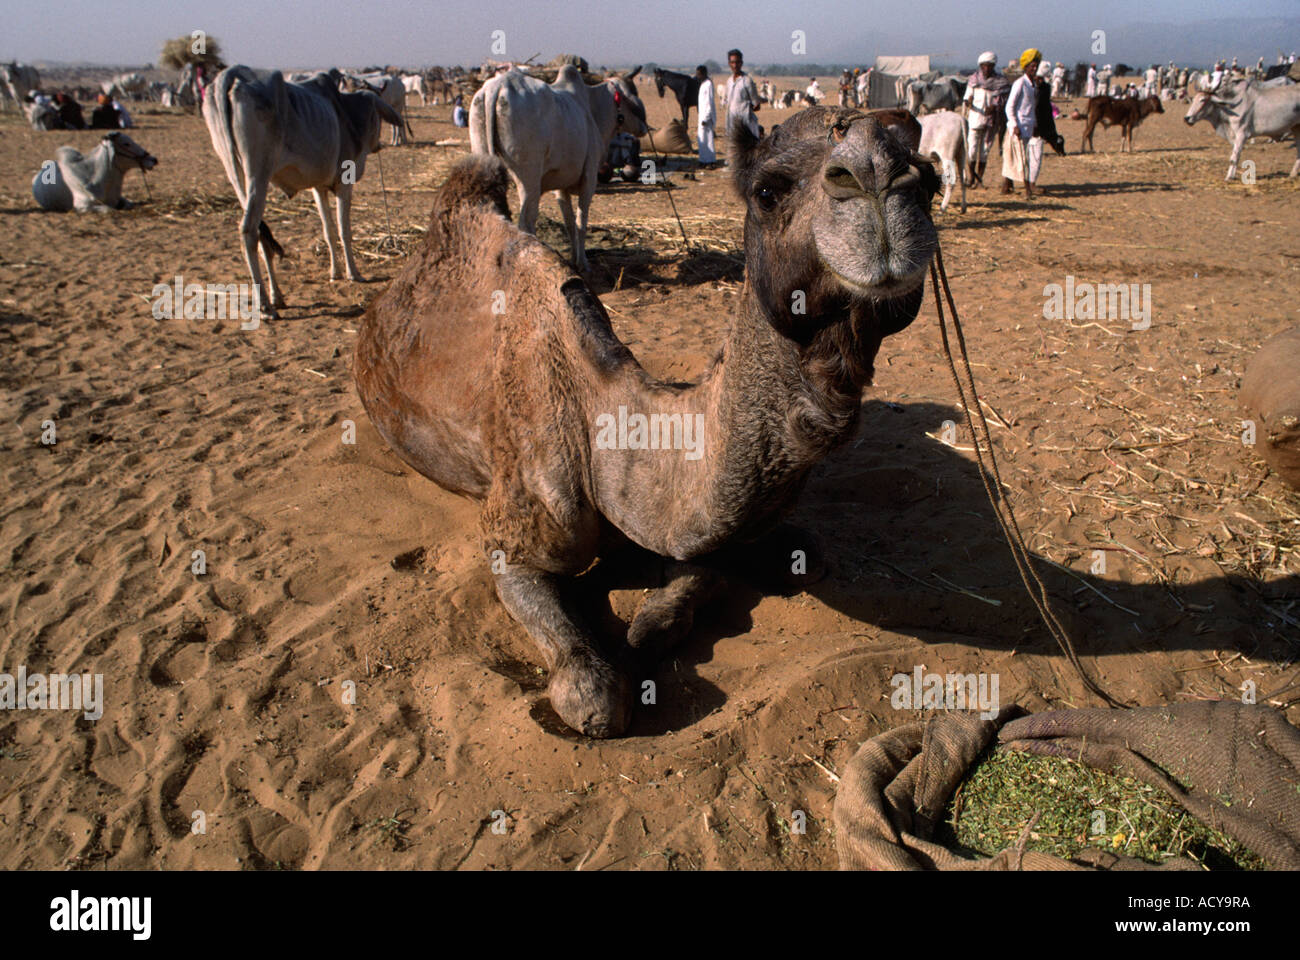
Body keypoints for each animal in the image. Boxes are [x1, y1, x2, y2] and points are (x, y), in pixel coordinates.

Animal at [202, 66, 404, 320]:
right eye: (376, 117)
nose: (378, 145)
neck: (346, 110)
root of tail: (230, 74)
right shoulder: (344, 182)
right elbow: (344, 230)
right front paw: (353, 273)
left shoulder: (318, 187)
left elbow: (329, 231)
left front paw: (335, 272)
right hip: (259, 173)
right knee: (248, 231)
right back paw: (265, 306)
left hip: (235, 172)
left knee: (260, 235)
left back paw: (277, 296)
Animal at [354, 106, 941, 737]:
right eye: (766, 191)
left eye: (932, 179)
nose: (876, 173)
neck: (599, 426)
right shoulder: (517, 530)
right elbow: (591, 693)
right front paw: (609, 669)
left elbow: (737, 566)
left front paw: (647, 632)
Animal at [469, 65, 646, 272]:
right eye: (634, 92)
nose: (644, 128)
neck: (592, 107)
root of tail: (497, 86)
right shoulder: (589, 179)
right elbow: (580, 223)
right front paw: (583, 263)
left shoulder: (561, 186)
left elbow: (569, 223)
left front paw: (573, 260)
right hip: (528, 178)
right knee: (526, 222)